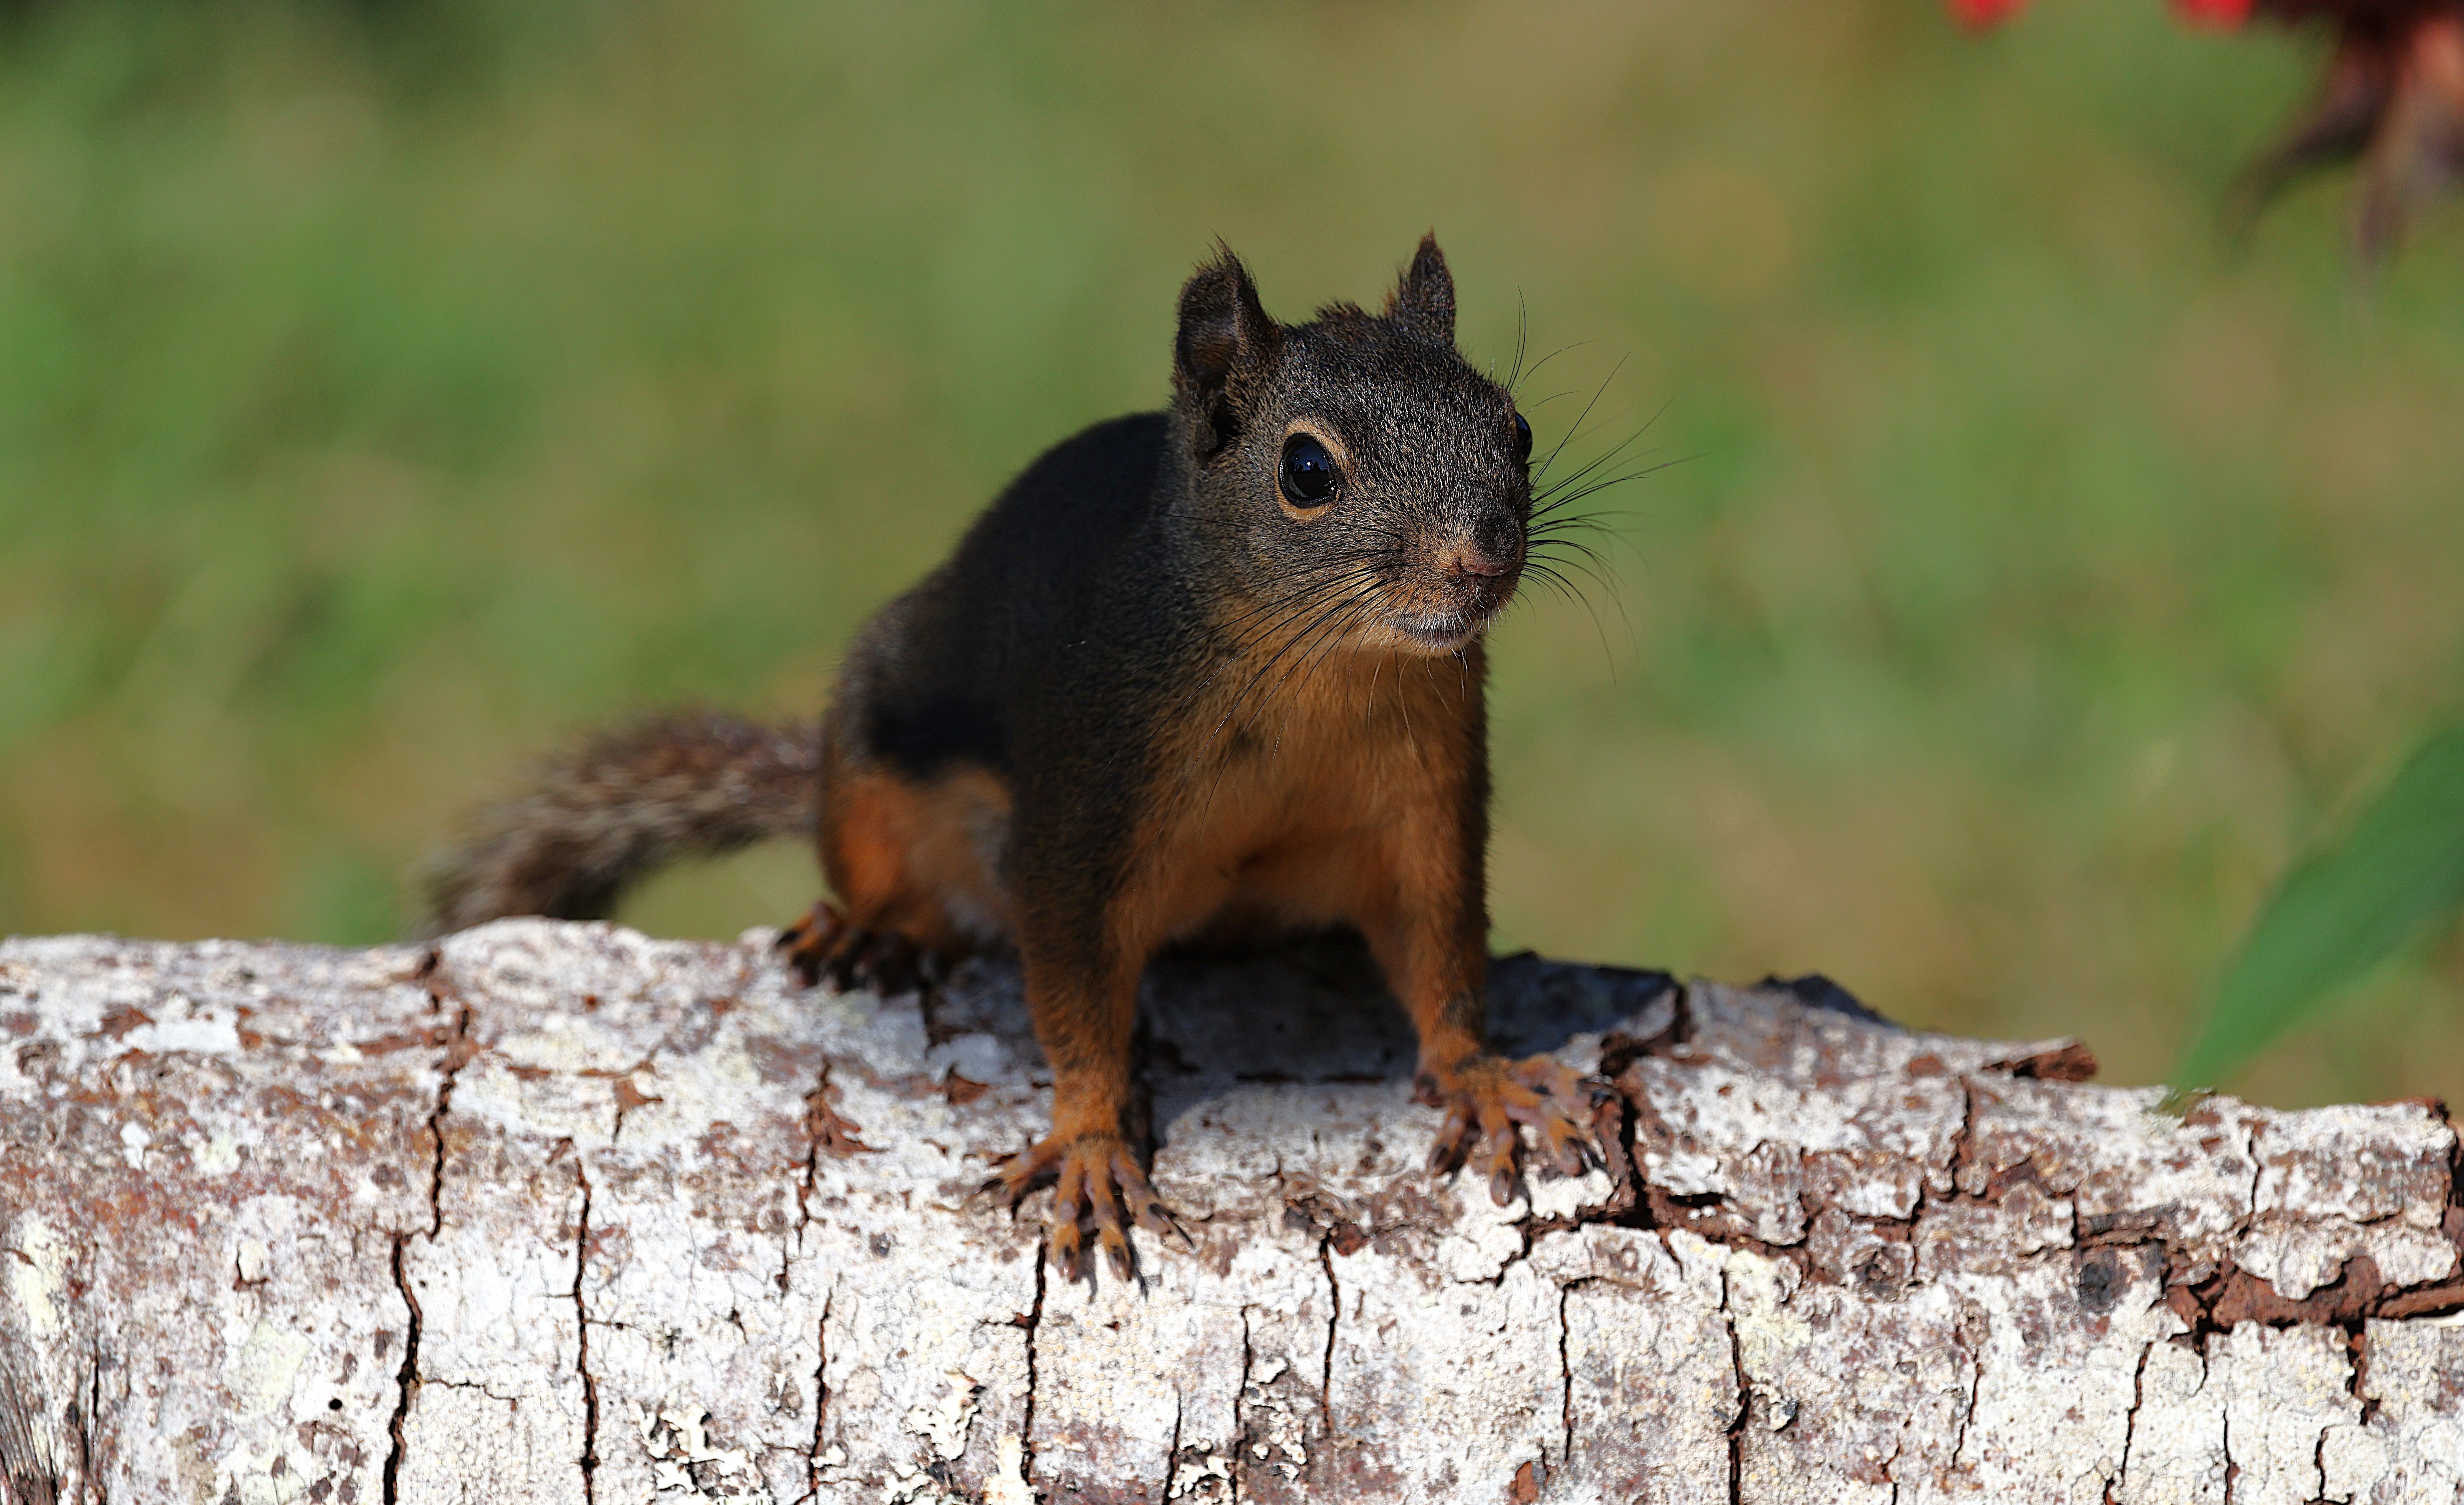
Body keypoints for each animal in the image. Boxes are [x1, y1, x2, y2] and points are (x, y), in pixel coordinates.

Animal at [418, 235, 1603, 1282]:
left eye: (1515, 427)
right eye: (1306, 469)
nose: (1481, 559)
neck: (1322, 671)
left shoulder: (1426, 801)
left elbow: (1437, 945)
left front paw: (1483, 1076)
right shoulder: (1082, 809)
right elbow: (1074, 993)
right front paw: (1087, 1140)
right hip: (872, 750)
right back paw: (874, 930)